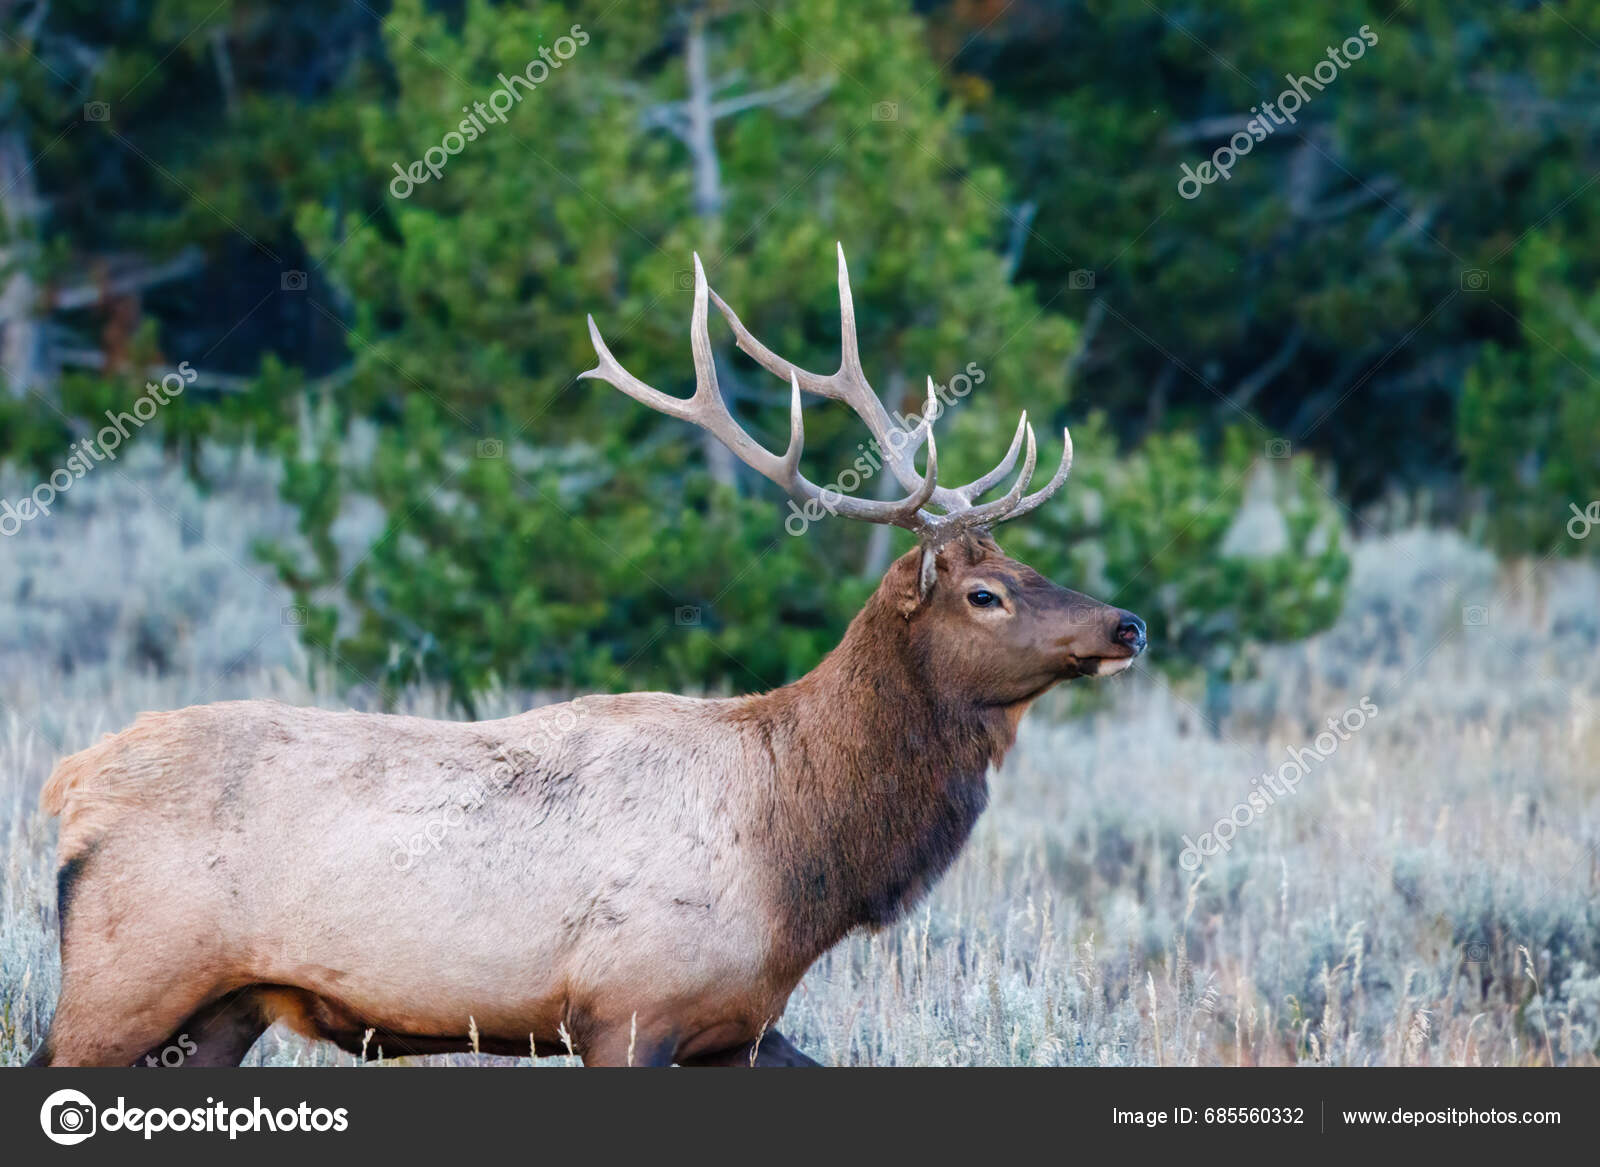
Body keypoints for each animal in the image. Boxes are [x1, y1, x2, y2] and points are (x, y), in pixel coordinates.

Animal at [28, 245, 1145, 1068]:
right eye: (983, 593)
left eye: (1028, 563)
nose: (1126, 624)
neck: (800, 862)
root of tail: (71, 781)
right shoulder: (627, 1007)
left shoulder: (735, 1029)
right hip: (123, 977)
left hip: (221, 1008)